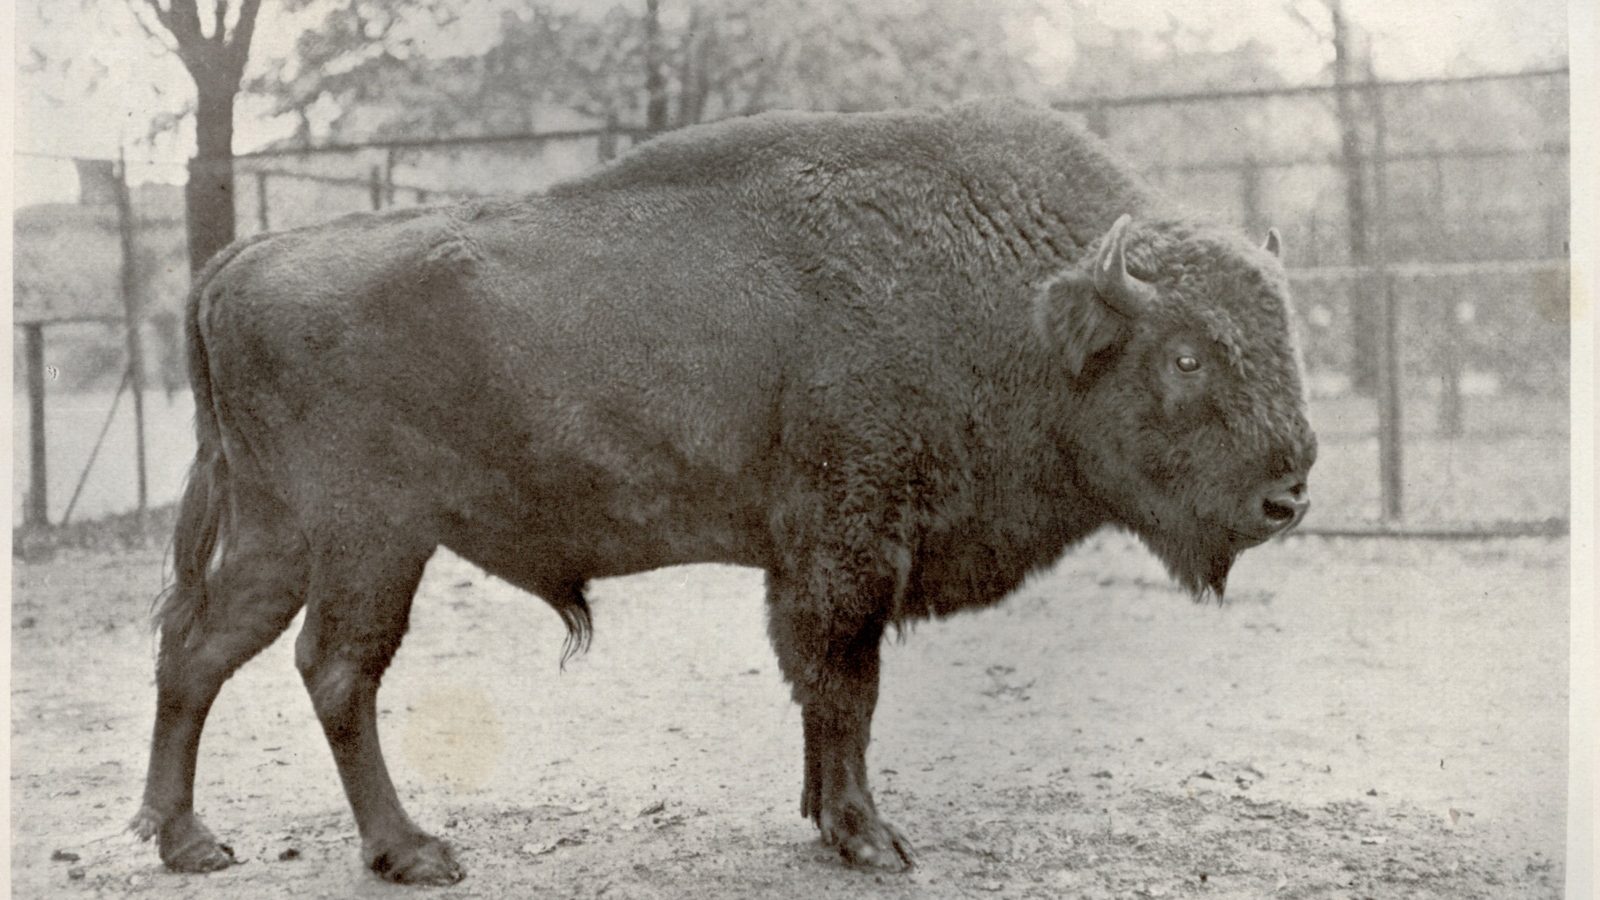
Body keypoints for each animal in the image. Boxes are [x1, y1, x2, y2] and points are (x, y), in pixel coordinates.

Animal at [133, 99, 1314, 884]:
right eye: (1186, 356)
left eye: (1282, 331)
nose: (1289, 495)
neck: (1024, 302)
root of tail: (235, 263)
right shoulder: (846, 550)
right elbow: (845, 686)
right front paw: (870, 839)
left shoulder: (812, 564)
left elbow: (822, 691)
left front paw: (822, 817)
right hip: (370, 539)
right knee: (335, 671)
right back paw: (414, 851)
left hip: (286, 536)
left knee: (200, 649)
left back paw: (186, 840)